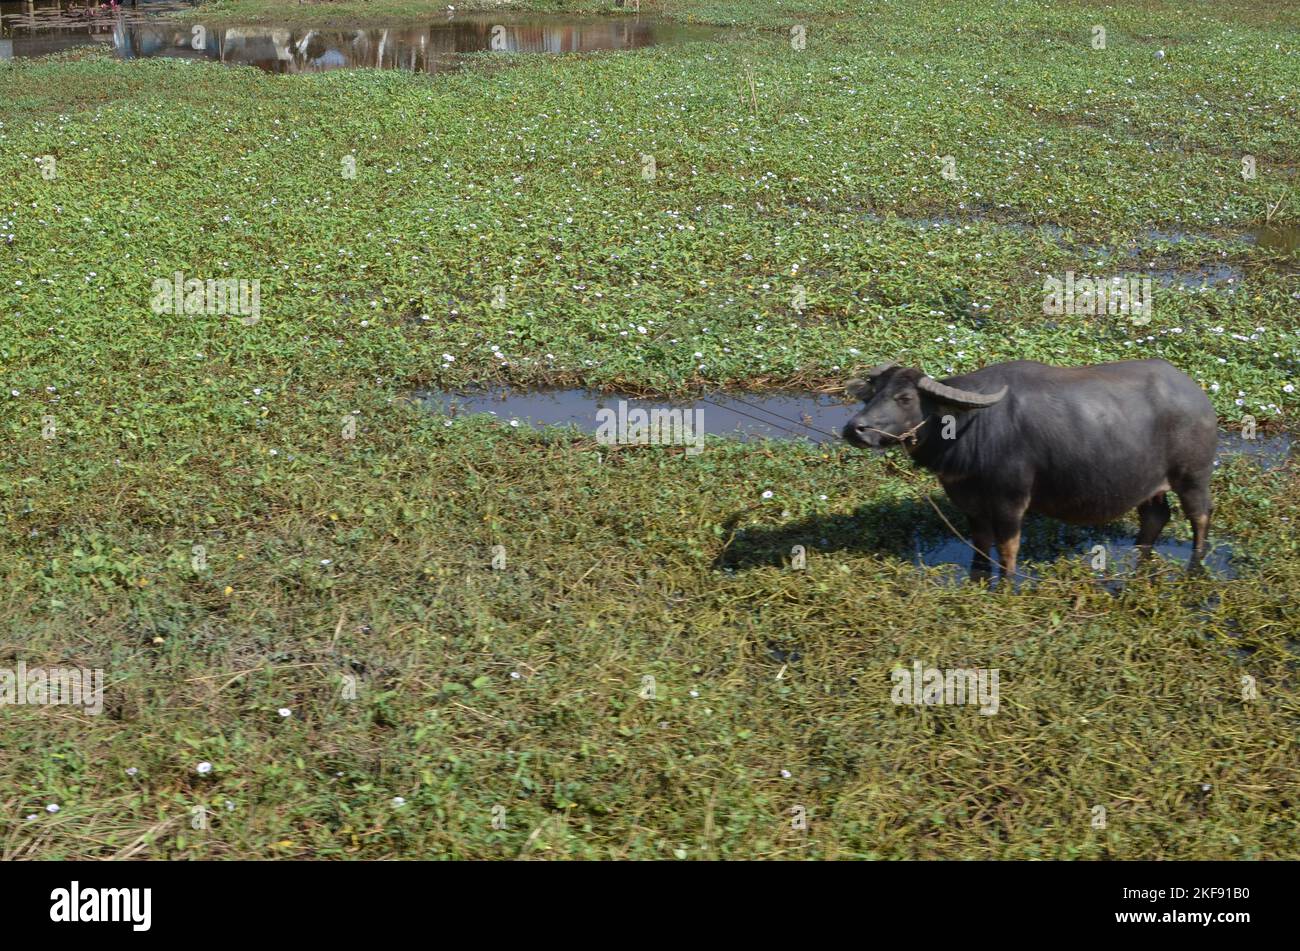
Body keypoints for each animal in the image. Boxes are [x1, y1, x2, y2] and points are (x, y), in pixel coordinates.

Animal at [842, 359, 1216, 580]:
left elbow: (1008, 547)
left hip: (1193, 478)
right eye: (872, 394)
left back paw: (1196, 565)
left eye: (905, 398)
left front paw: (1008, 584)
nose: (854, 429)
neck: (971, 429)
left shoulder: (1011, 501)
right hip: (1149, 486)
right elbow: (981, 545)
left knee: (1200, 516)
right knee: (1155, 517)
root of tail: (1198, 397)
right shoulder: (971, 504)